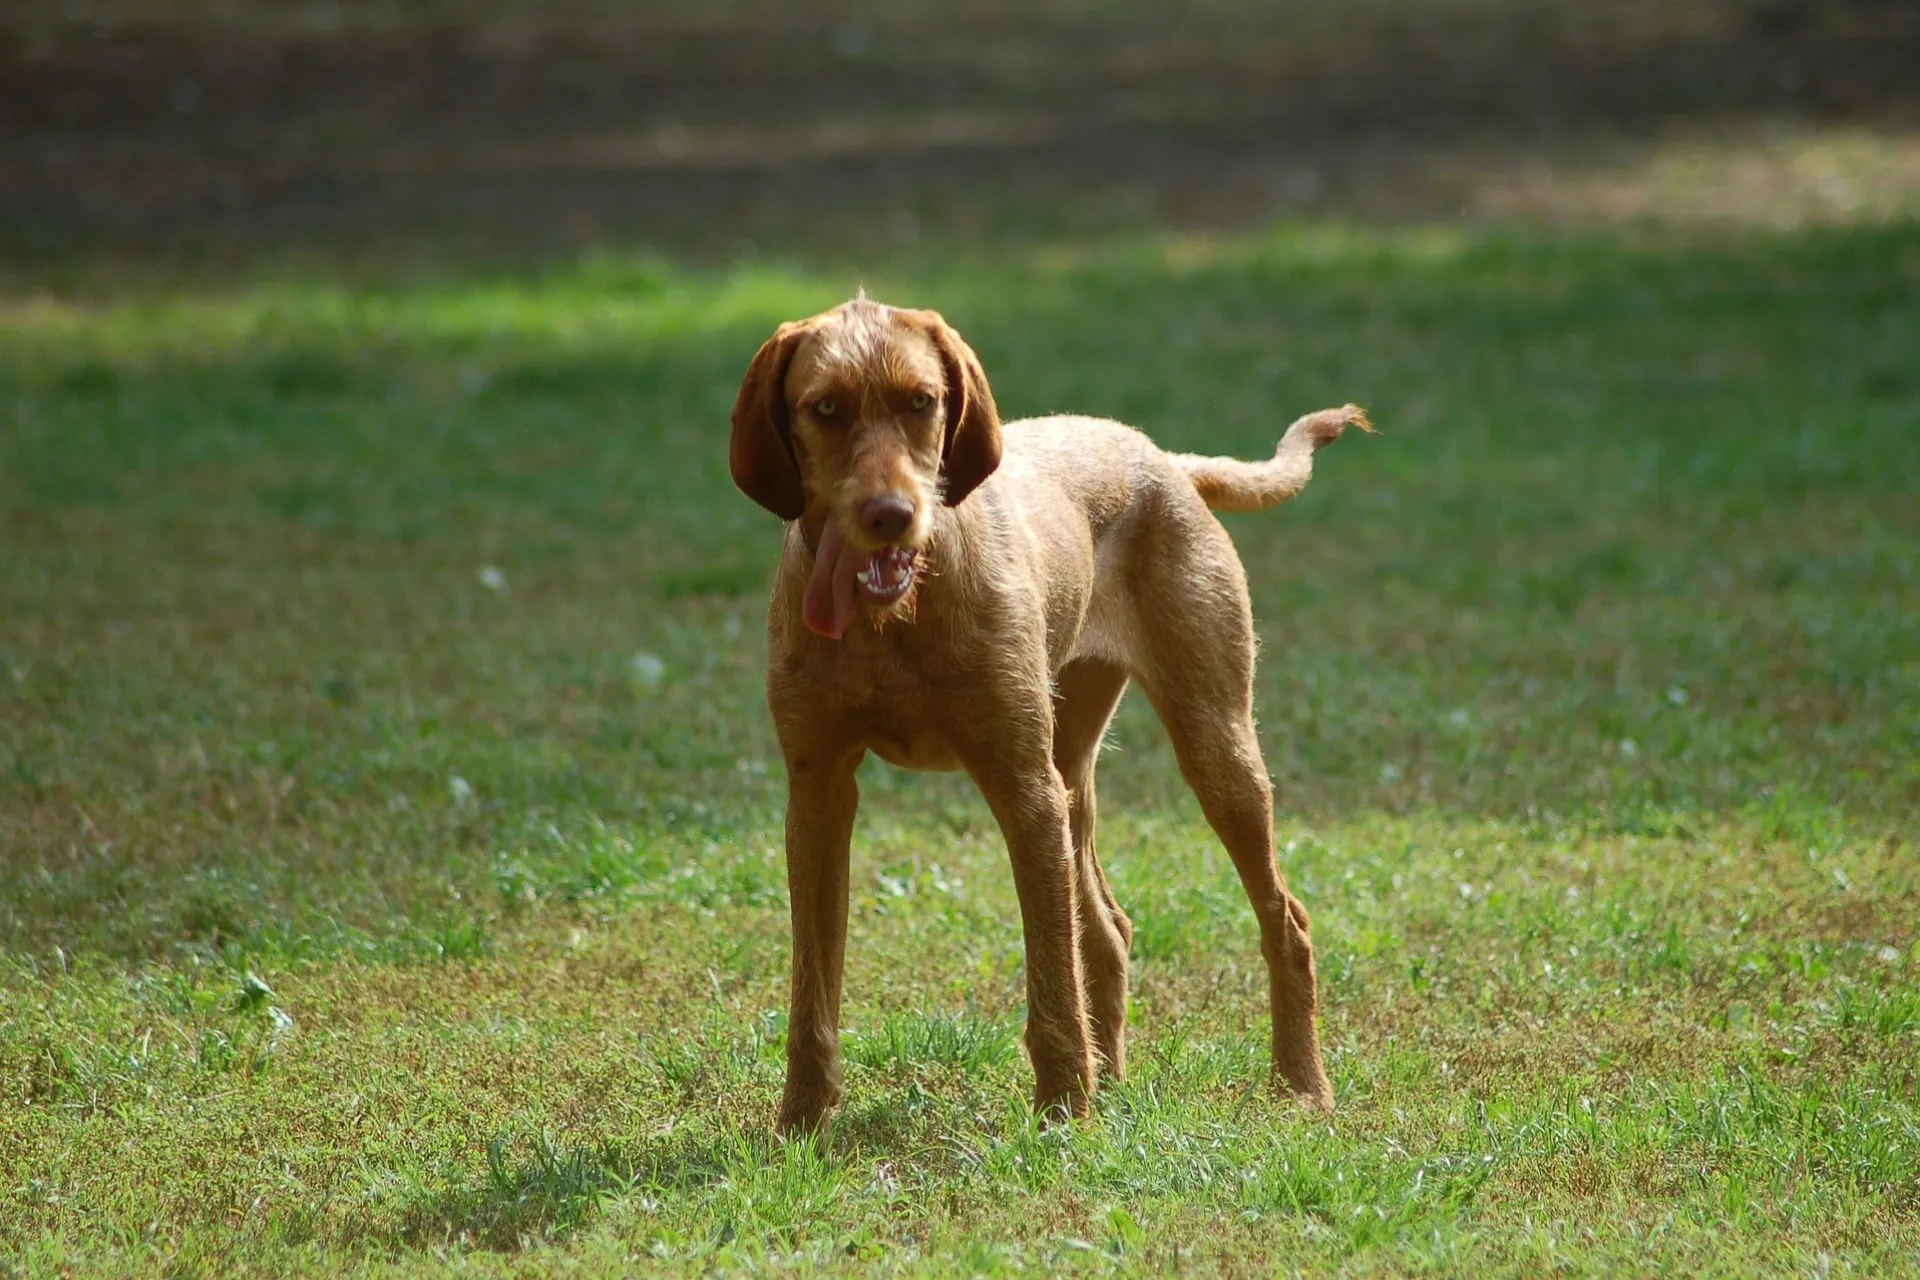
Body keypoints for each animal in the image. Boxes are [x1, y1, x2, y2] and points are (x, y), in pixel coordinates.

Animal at [725, 293, 1374, 1128]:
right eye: (825, 408)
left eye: (921, 402)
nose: (891, 515)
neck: (895, 619)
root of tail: (1163, 457)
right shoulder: (817, 793)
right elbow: (814, 990)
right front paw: (801, 1123)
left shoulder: (1021, 786)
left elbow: (1051, 983)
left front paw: (1064, 1114)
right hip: (1074, 772)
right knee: (1109, 929)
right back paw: (1118, 1082)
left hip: (1212, 748)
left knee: (1283, 921)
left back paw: (1300, 1084)